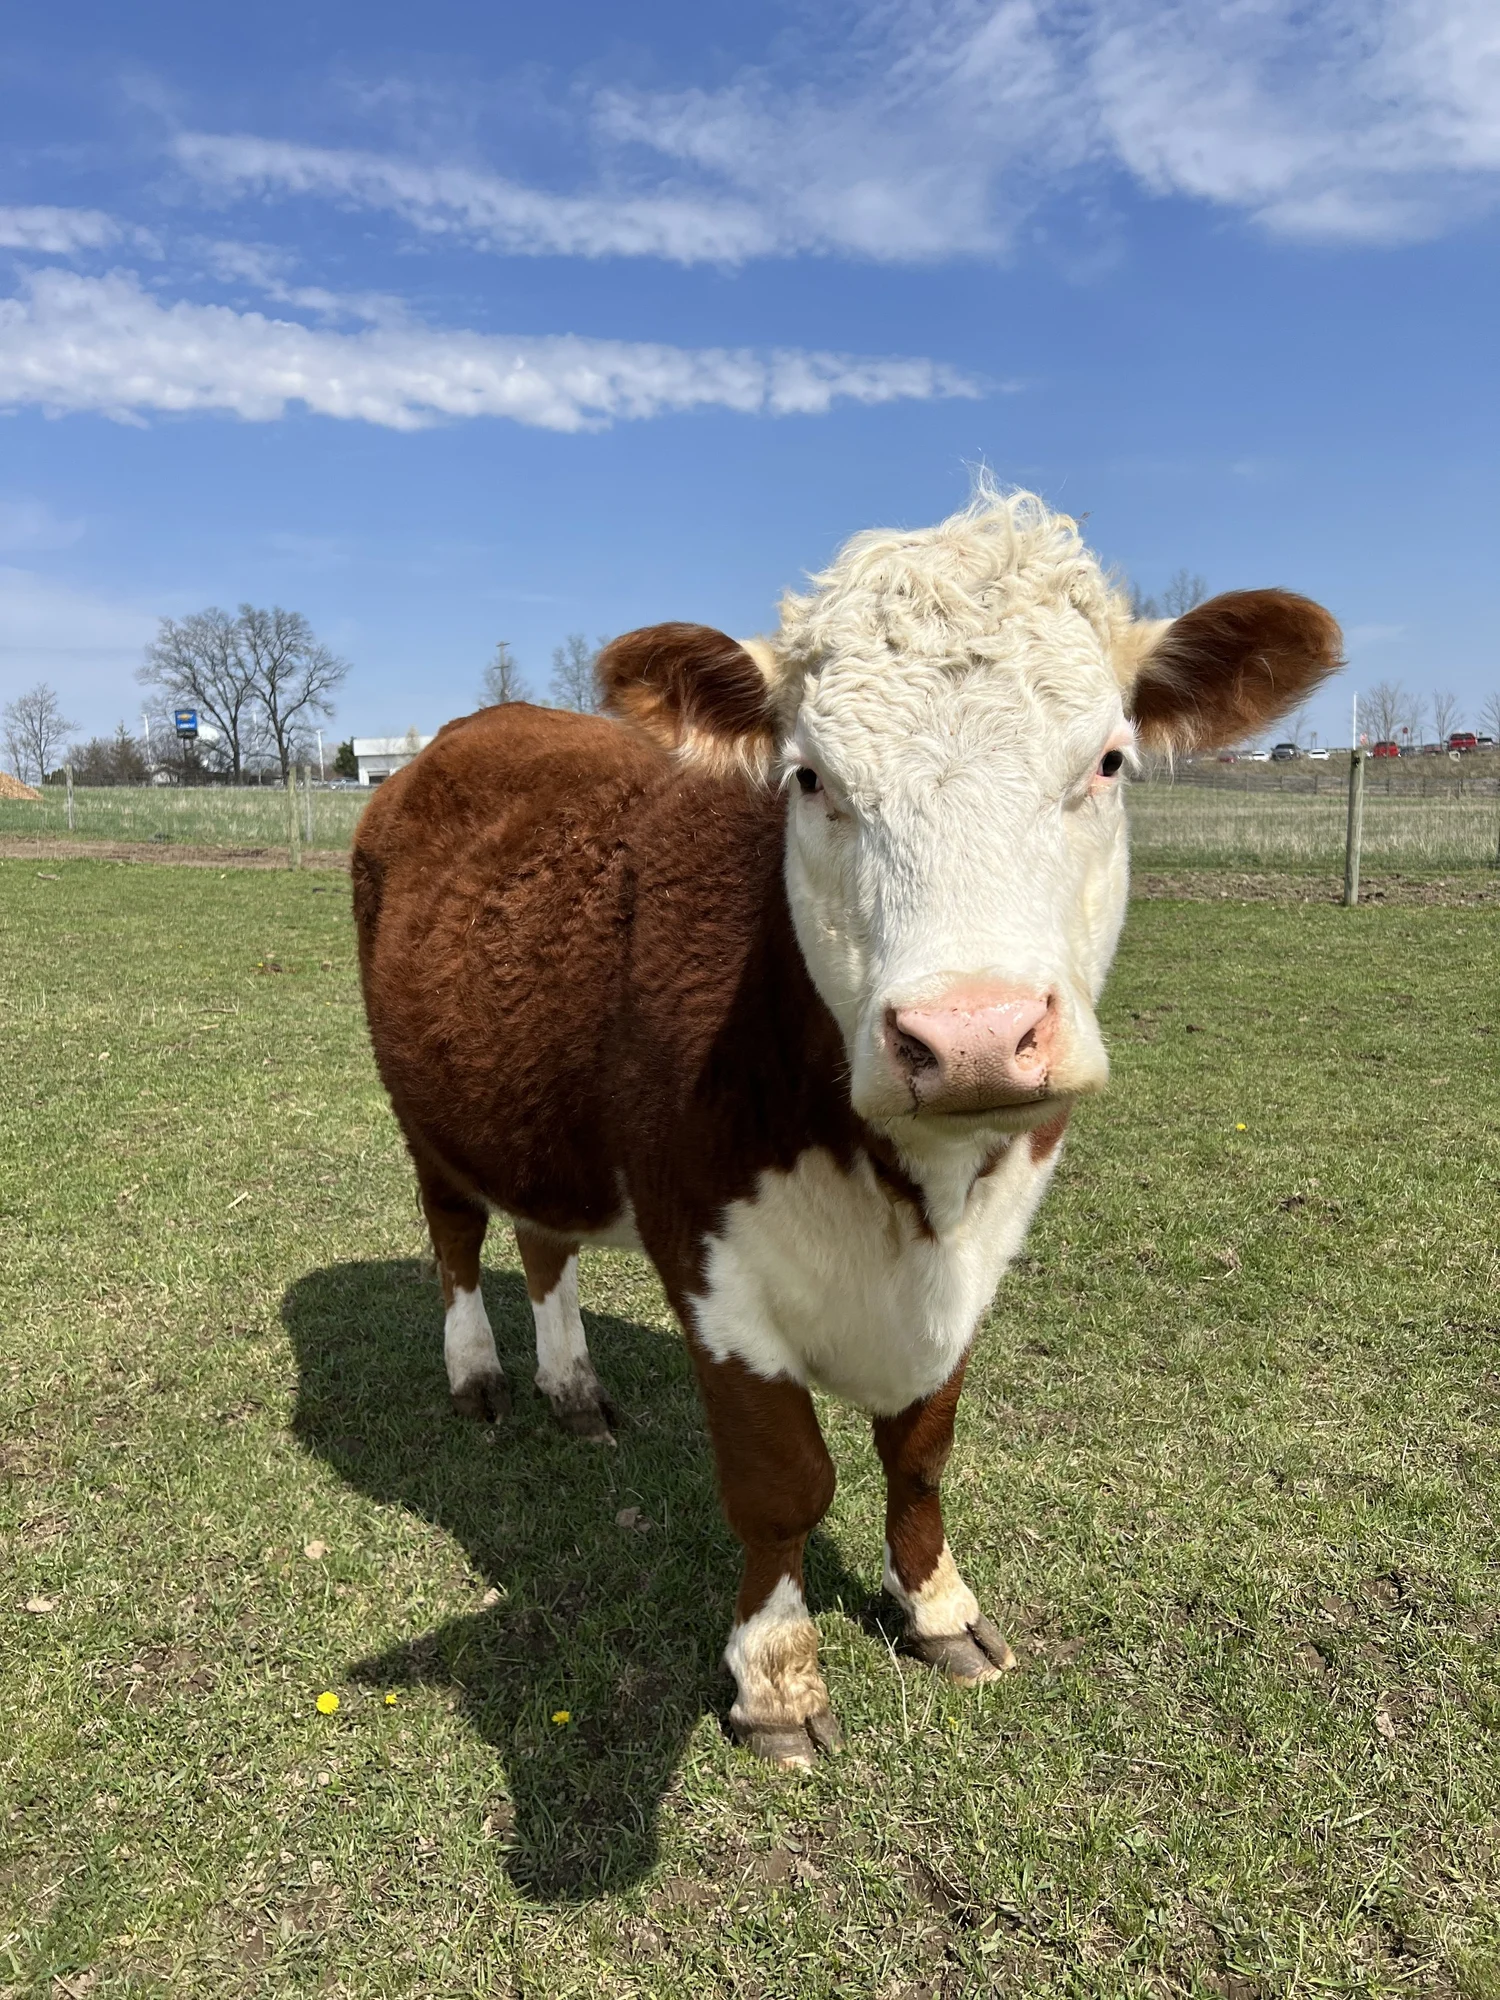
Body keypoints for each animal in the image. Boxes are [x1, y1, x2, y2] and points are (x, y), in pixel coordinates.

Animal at [352, 487, 1339, 1767]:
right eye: (812, 778)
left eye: (1109, 759)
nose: (973, 1034)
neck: (910, 1187)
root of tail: (470, 732)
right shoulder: (709, 1257)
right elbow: (783, 1479)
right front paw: (776, 1675)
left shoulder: (981, 1249)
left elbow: (918, 1452)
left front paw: (938, 1605)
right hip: (427, 1110)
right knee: (457, 1234)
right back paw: (478, 1375)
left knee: (545, 1239)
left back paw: (572, 1385)